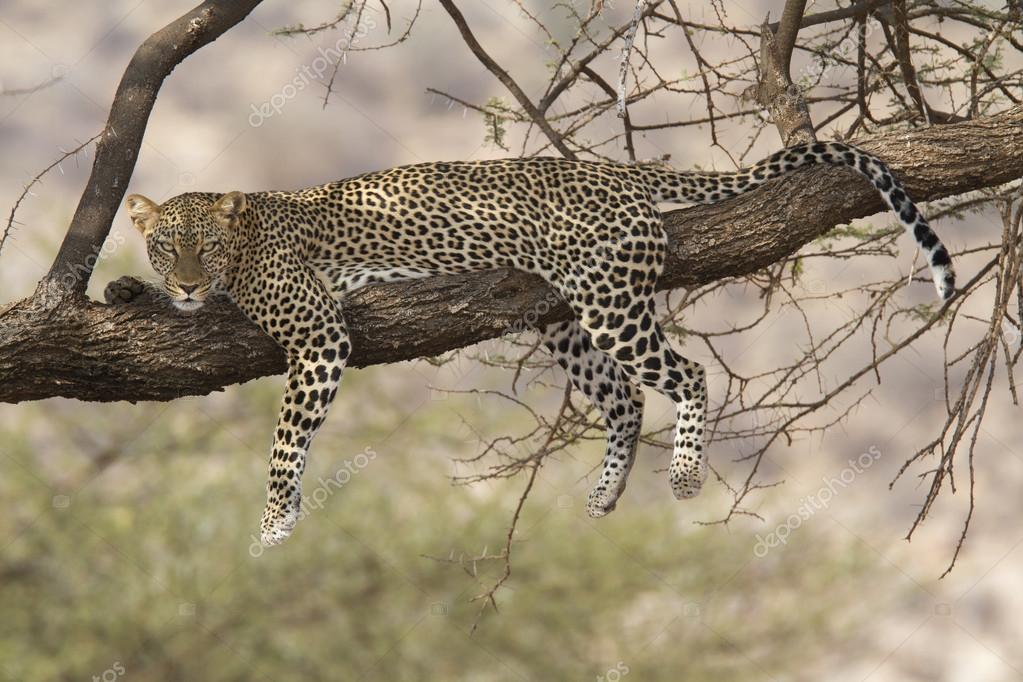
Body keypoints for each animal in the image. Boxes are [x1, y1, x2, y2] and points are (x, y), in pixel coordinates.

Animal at [110, 141, 956, 547]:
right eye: (166, 248)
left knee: (686, 374)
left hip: (608, 304)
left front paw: (271, 524)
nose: (187, 286)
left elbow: (287, 442)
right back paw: (606, 491)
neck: (248, 240)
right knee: (623, 397)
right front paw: (125, 293)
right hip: (561, 321)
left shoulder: (318, 334)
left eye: (206, 248)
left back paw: (683, 475)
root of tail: (618, 174)